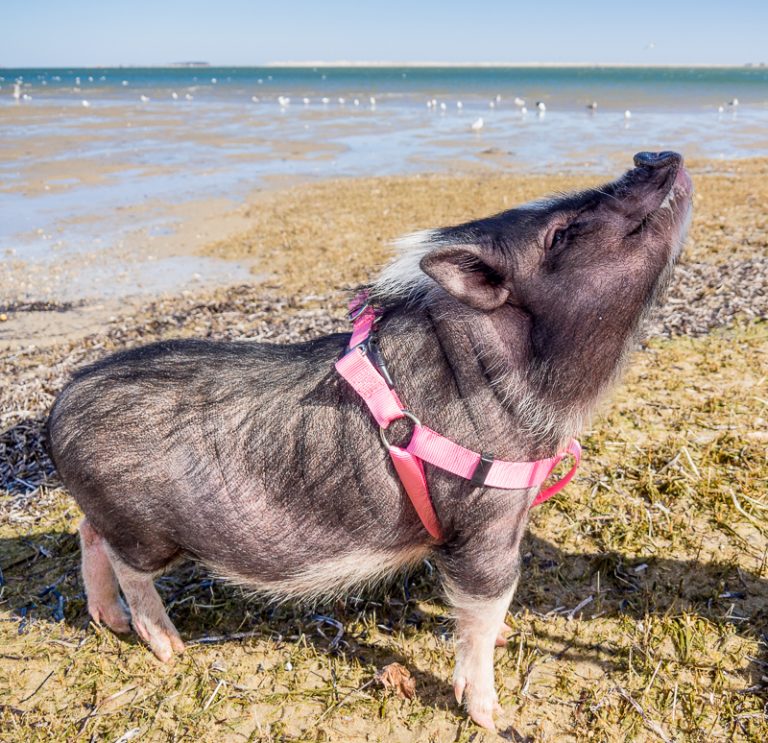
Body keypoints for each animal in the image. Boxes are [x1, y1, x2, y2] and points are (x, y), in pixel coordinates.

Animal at [47, 151, 692, 730]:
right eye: (560, 233)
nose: (654, 155)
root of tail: (60, 406)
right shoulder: (485, 519)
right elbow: (487, 601)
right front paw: (493, 716)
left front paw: (508, 641)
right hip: (144, 528)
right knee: (127, 565)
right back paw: (168, 647)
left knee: (86, 532)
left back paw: (110, 623)